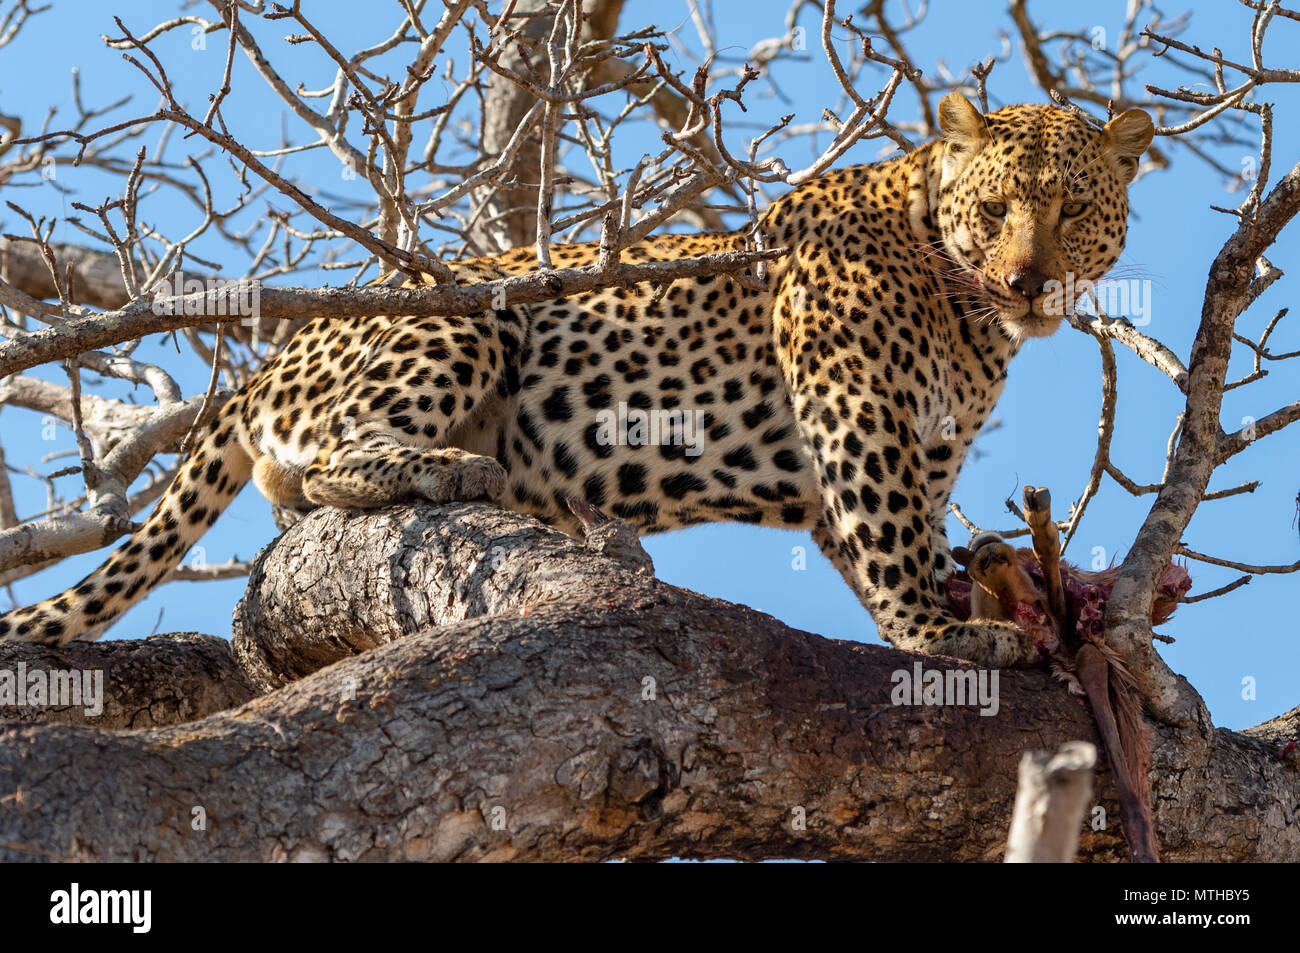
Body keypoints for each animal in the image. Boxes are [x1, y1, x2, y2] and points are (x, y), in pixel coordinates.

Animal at [0, 94, 1153, 667]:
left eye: (1071, 208)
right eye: (998, 207)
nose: (1029, 280)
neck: (969, 313)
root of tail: (259, 367)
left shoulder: (919, 444)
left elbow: (887, 535)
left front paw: (974, 594)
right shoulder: (856, 410)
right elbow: (890, 530)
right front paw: (941, 632)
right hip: (466, 322)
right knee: (328, 454)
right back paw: (448, 469)